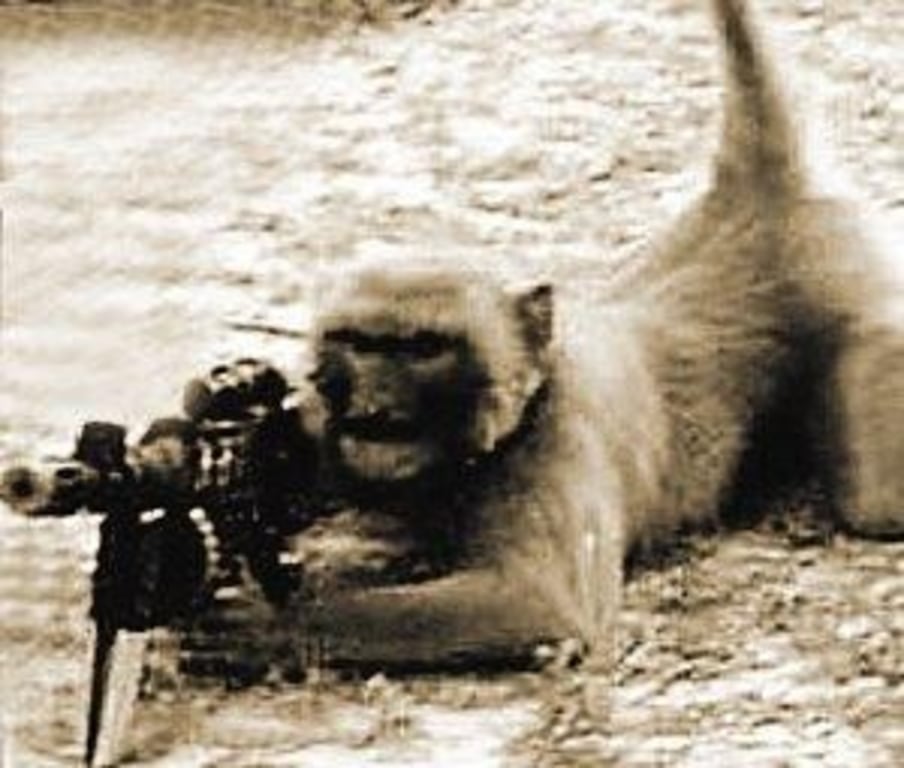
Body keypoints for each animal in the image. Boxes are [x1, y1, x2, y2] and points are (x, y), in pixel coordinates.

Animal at [269, 0, 903, 670]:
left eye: (422, 349)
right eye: (362, 344)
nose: (374, 405)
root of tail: (758, 197)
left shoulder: (559, 429)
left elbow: (542, 604)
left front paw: (253, 620)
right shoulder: (320, 420)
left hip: (859, 296)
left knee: (876, 504)